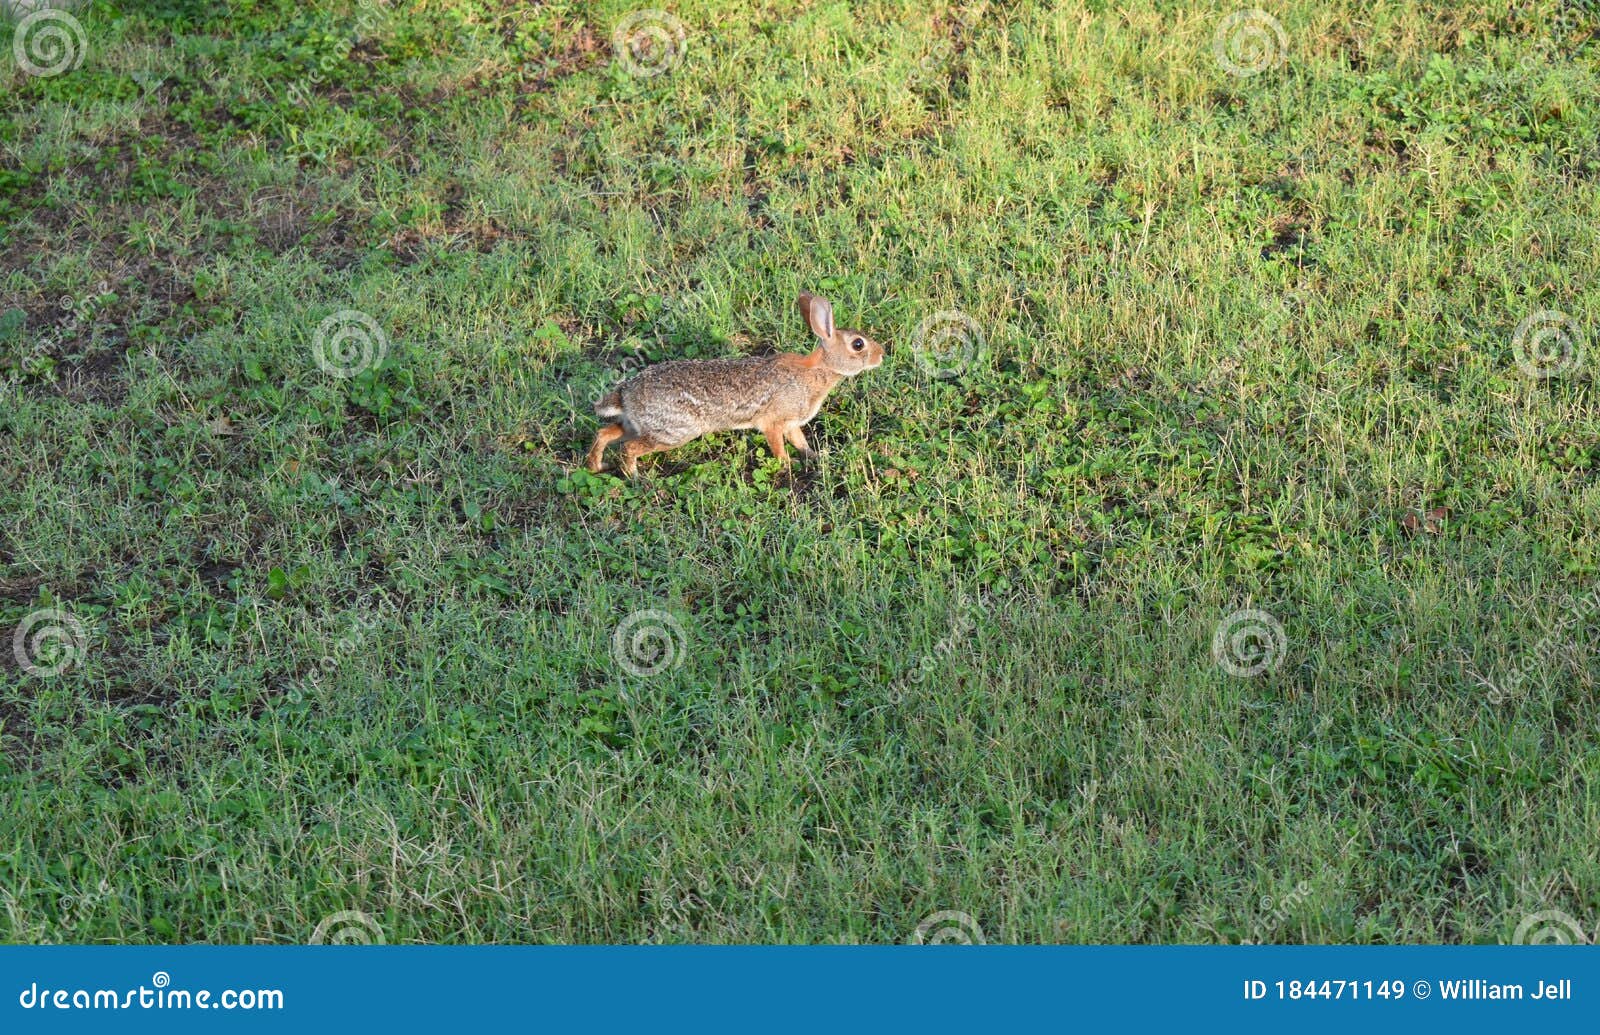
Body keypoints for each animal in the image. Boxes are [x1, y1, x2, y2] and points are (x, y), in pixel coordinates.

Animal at [586, 291, 884, 477]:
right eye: (858, 345)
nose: (881, 355)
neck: (818, 370)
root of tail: (625, 395)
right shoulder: (773, 423)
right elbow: (779, 448)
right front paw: (788, 468)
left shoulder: (790, 424)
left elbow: (800, 441)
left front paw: (814, 457)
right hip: (675, 431)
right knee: (629, 448)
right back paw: (637, 478)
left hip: (636, 425)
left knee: (605, 434)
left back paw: (597, 467)